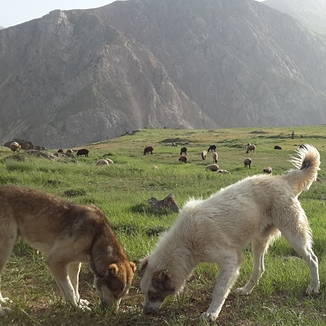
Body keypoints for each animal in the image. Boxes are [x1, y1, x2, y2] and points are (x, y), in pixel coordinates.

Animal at [0, 186, 136, 316]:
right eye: (114, 293)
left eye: (122, 296)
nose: (113, 313)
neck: (96, 236)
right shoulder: (55, 261)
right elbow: (70, 289)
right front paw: (77, 307)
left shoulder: (74, 264)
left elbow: (75, 287)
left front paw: (79, 302)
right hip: (6, 248)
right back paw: (2, 311)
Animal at [139, 145, 320, 320]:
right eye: (144, 293)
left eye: (153, 294)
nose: (145, 312)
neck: (187, 241)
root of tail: (282, 179)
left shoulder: (230, 260)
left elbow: (219, 289)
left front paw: (212, 313)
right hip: (259, 241)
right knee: (259, 269)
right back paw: (246, 290)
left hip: (294, 235)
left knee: (313, 259)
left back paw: (314, 288)